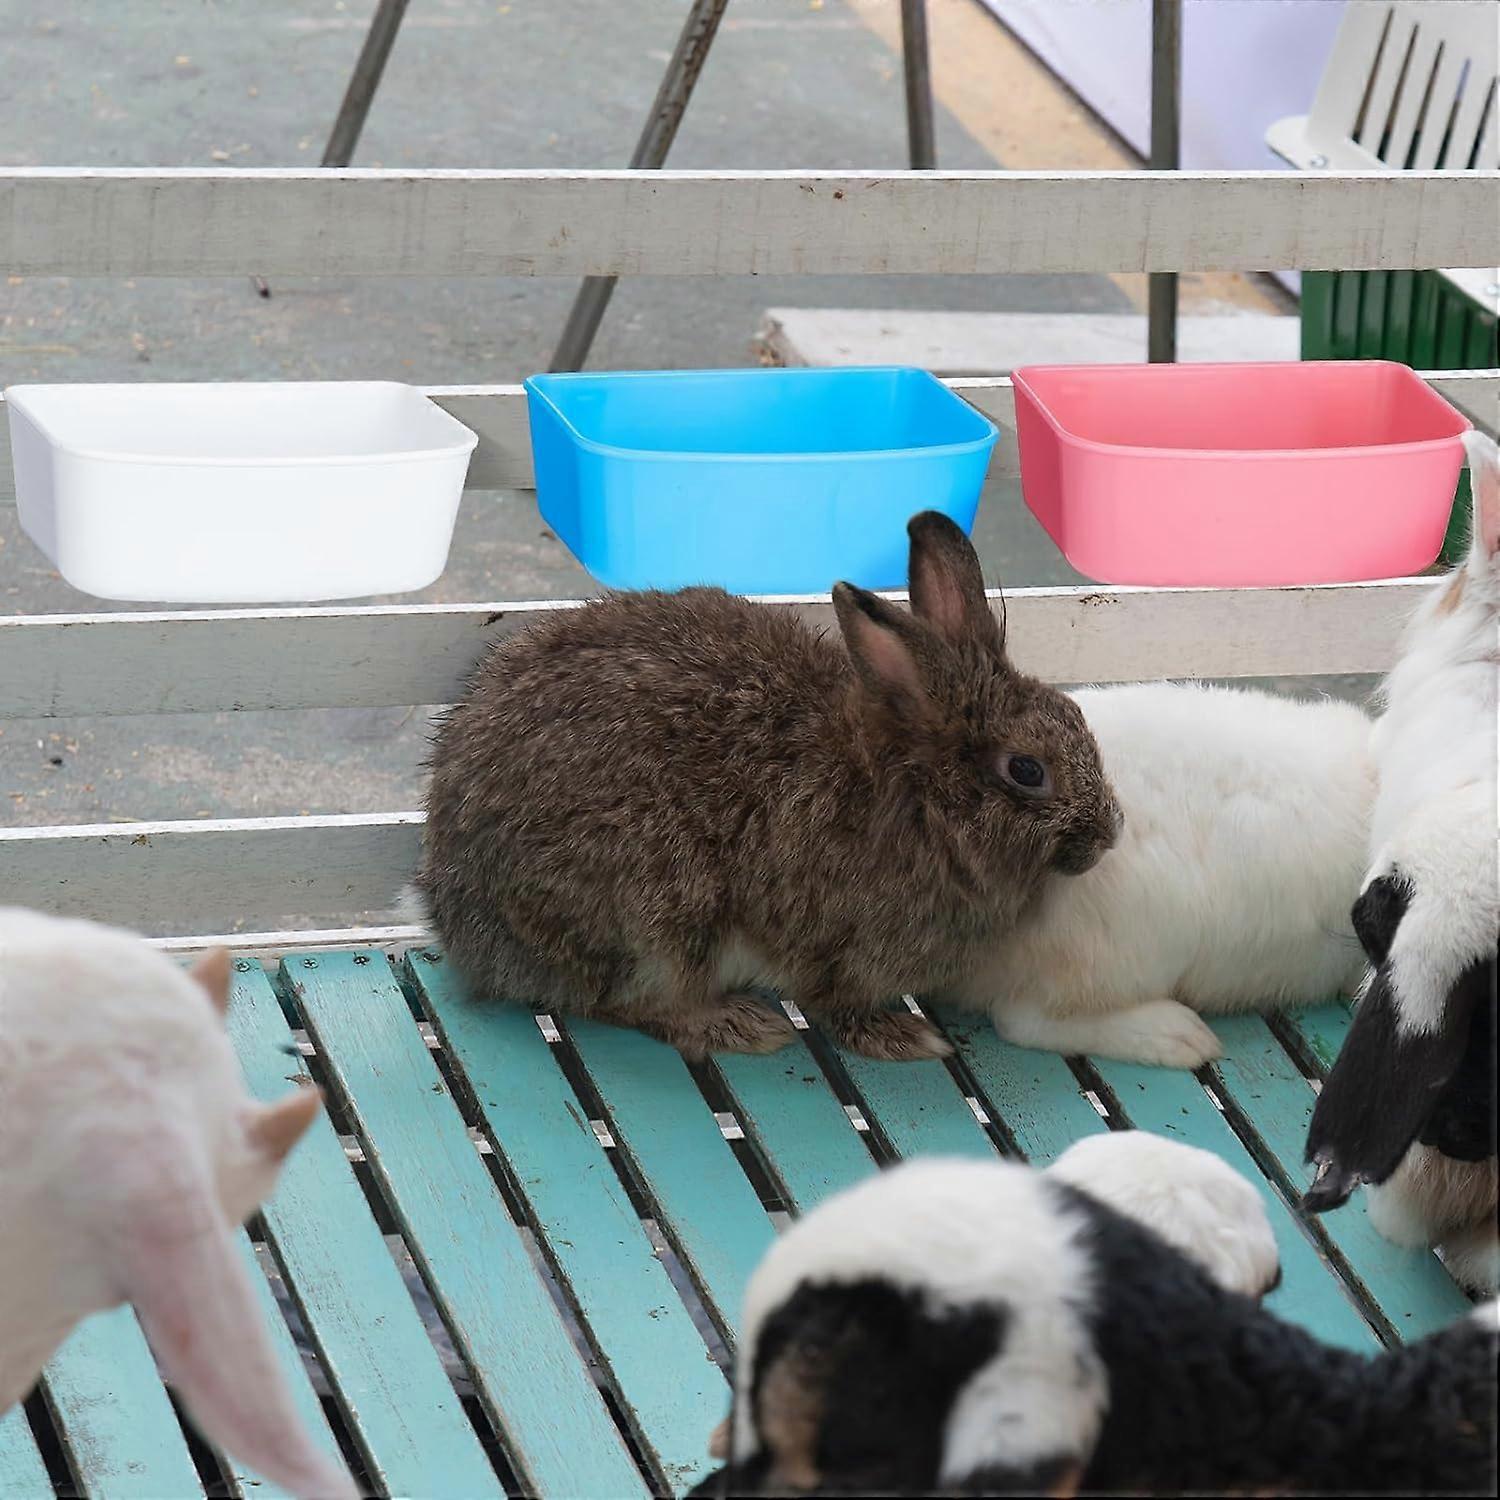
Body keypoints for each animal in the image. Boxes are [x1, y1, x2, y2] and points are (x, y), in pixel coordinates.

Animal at [412, 512, 1122, 1061]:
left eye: (1076, 716)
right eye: (1026, 770)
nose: (1106, 836)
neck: (921, 793)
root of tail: (461, 922)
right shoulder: (837, 947)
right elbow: (836, 1004)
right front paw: (904, 1039)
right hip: (655, 912)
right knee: (620, 999)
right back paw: (738, 1025)